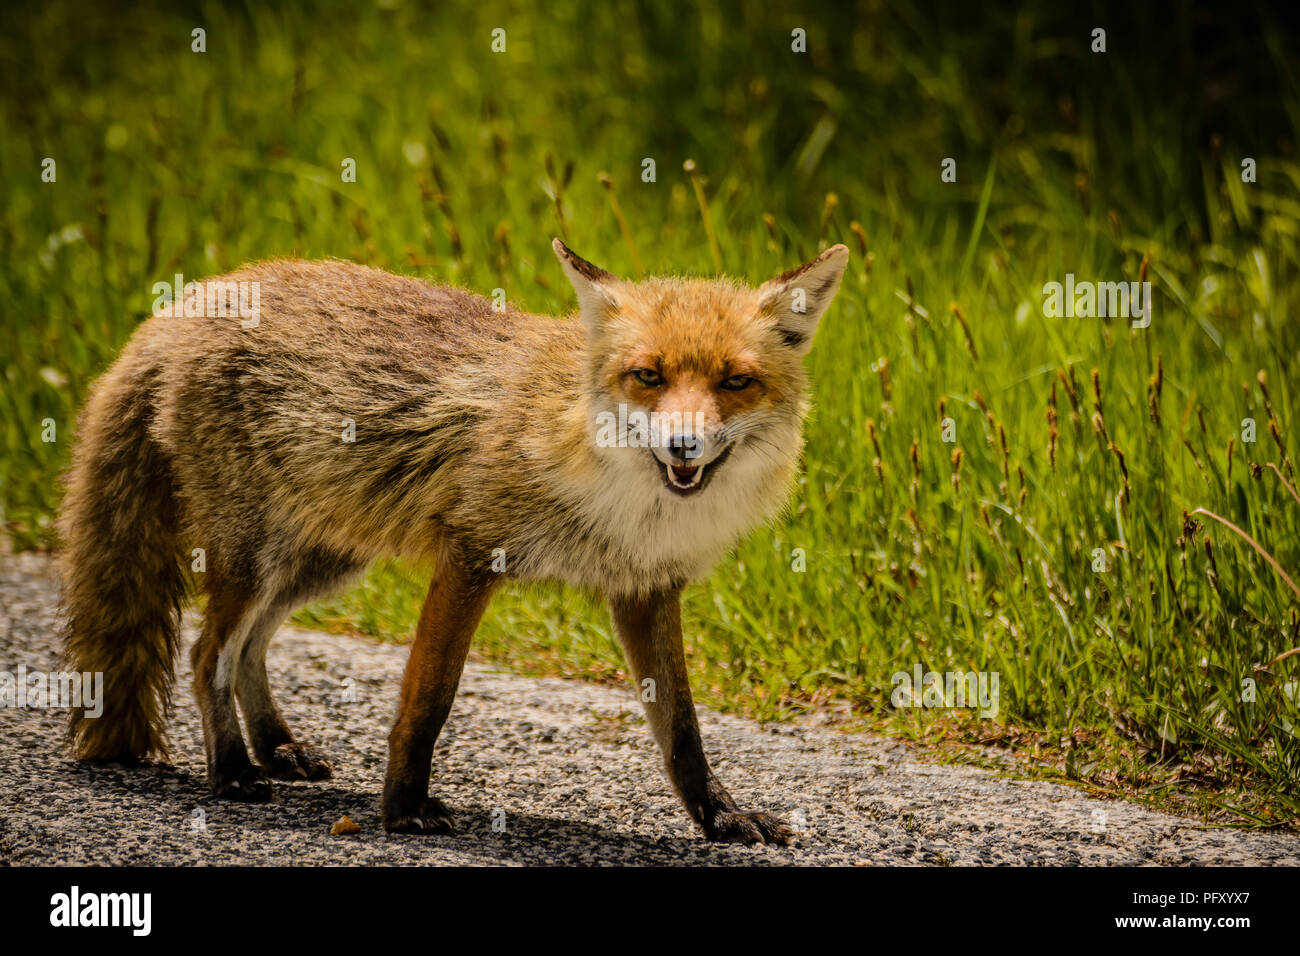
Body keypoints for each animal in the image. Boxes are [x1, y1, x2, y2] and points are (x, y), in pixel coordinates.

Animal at [58, 238, 850, 845]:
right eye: (648, 376)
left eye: (735, 381)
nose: (684, 446)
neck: (619, 495)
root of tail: (193, 299)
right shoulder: (470, 554)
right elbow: (428, 698)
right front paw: (403, 808)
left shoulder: (646, 588)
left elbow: (682, 731)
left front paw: (720, 817)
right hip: (257, 559)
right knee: (206, 655)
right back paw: (232, 770)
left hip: (319, 563)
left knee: (249, 647)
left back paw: (278, 747)